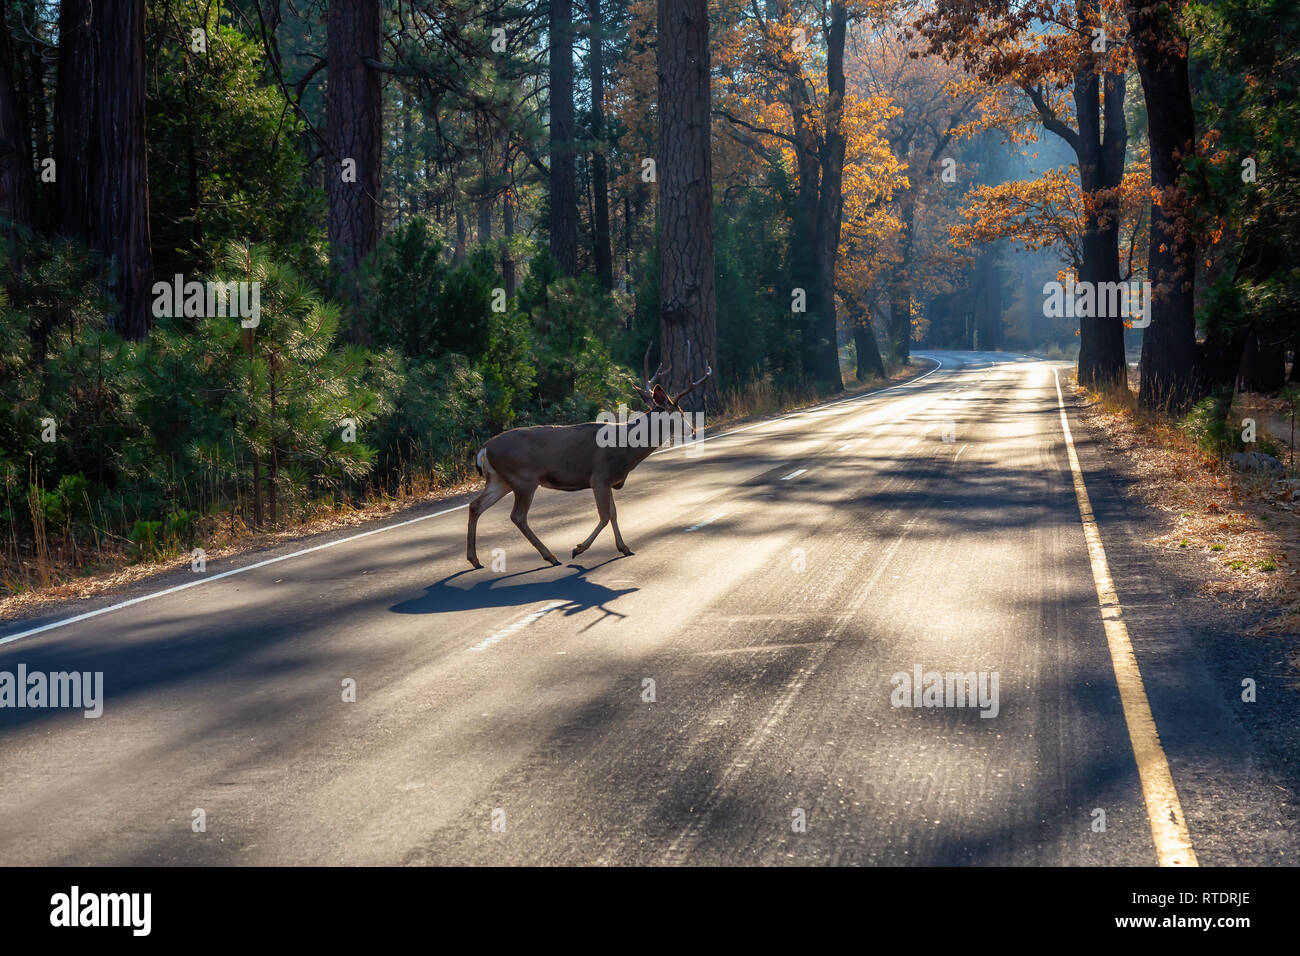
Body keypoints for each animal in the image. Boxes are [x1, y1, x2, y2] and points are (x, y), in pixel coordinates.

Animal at [466, 344, 712, 569]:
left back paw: (475, 560)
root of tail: (484, 448)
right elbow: (604, 516)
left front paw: (624, 548)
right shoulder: (599, 476)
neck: (627, 449)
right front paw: (578, 549)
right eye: (678, 414)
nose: (692, 429)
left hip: (501, 479)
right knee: (517, 516)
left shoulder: (609, 480)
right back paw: (551, 556)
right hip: (524, 478)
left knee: (475, 506)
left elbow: (613, 513)